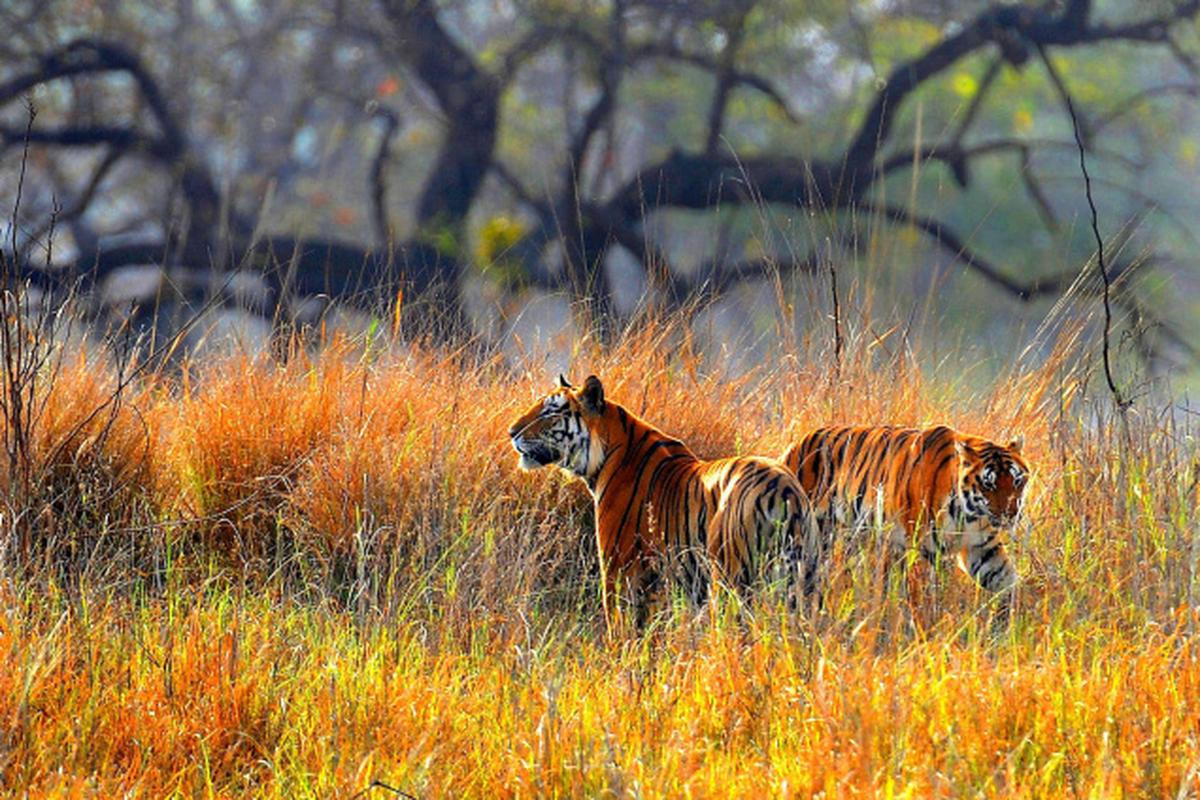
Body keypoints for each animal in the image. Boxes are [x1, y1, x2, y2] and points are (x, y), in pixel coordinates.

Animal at [509, 374, 819, 627]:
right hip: (805, 579)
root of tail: (784, 489)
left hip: (732, 577)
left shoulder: (619, 571)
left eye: (550, 411)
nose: (511, 432)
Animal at [779, 425, 1029, 600]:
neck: (968, 515)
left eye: (1017, 481)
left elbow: (1005, 579)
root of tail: (793, 445)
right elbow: (922, 594)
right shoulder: (921, 548)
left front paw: (1012, 621)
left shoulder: (983, 547)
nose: (1011, 514)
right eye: (989, 484)